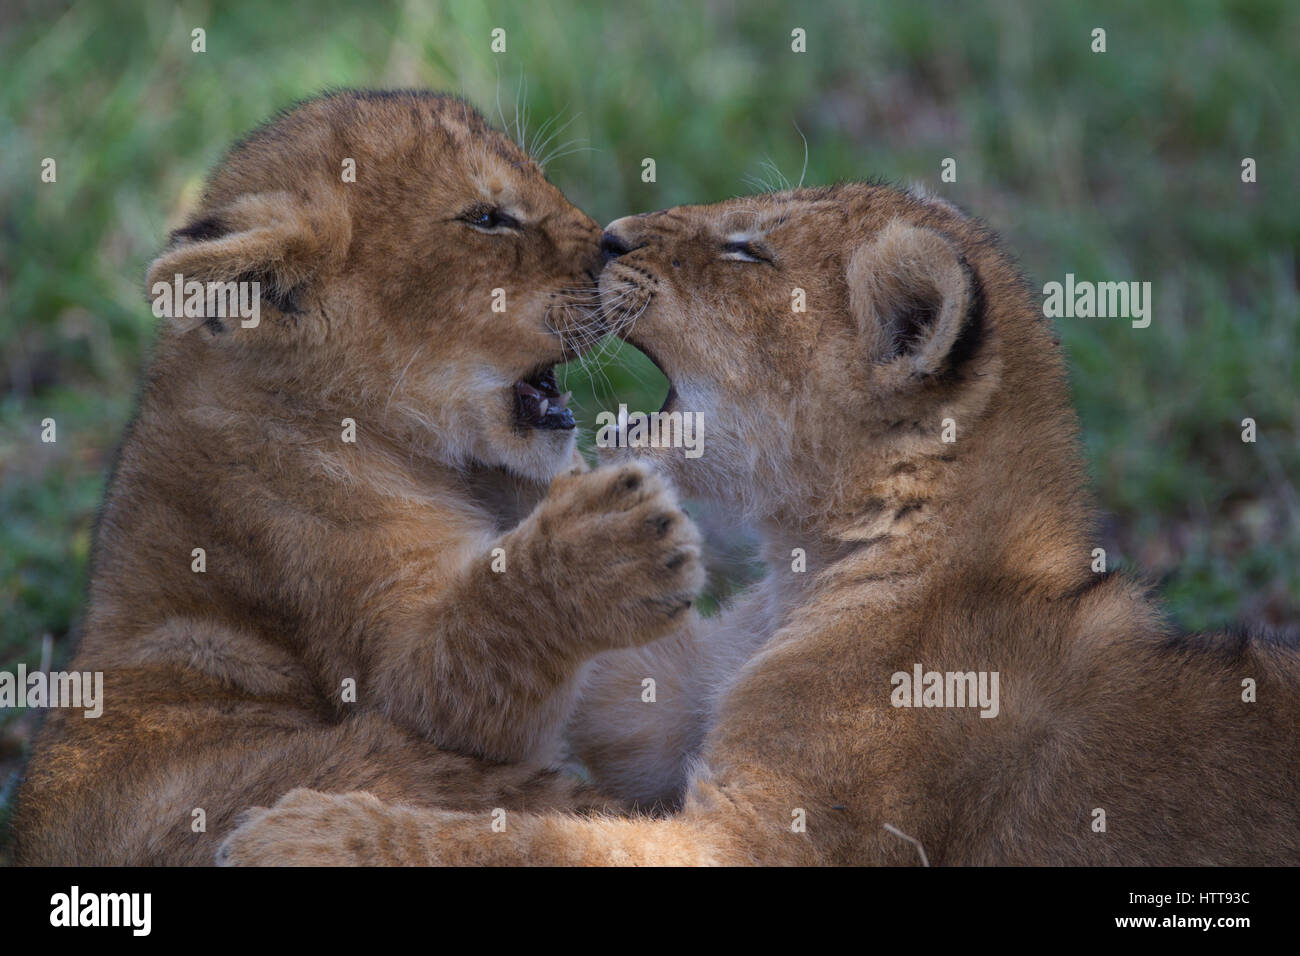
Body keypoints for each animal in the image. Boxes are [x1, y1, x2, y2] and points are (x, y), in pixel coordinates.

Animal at [218, 182, 1300, 865]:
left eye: (748, 248)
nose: (610, 235)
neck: (810, 564)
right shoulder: (683, 698)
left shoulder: (762, 839)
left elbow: (522, 844)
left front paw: (300, 833)